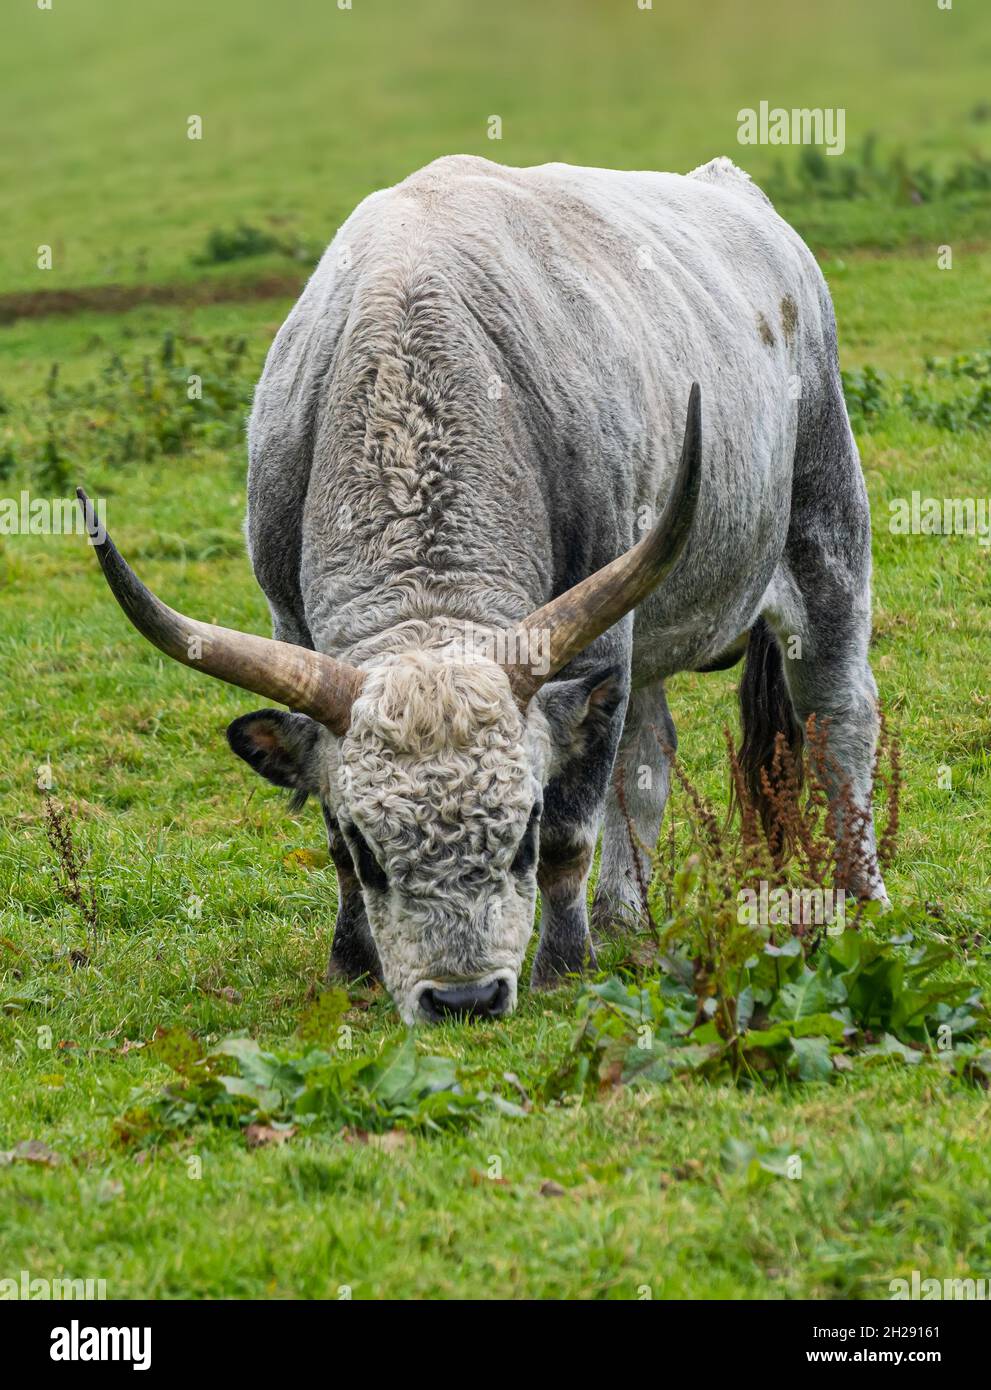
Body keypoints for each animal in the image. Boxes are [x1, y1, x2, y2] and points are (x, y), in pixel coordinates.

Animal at [78, 154, 888, 1025]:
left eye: (521, 832)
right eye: (372, 847)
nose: (463, 996)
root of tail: (734, 187)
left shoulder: (595, 637)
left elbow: (573, 826)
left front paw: (564, 966)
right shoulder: (291, 626)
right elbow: (332, 833)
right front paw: (351, 965)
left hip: (827, 534)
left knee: (838, 719)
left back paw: (860, 898)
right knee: (647, 752)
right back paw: (623, 918)